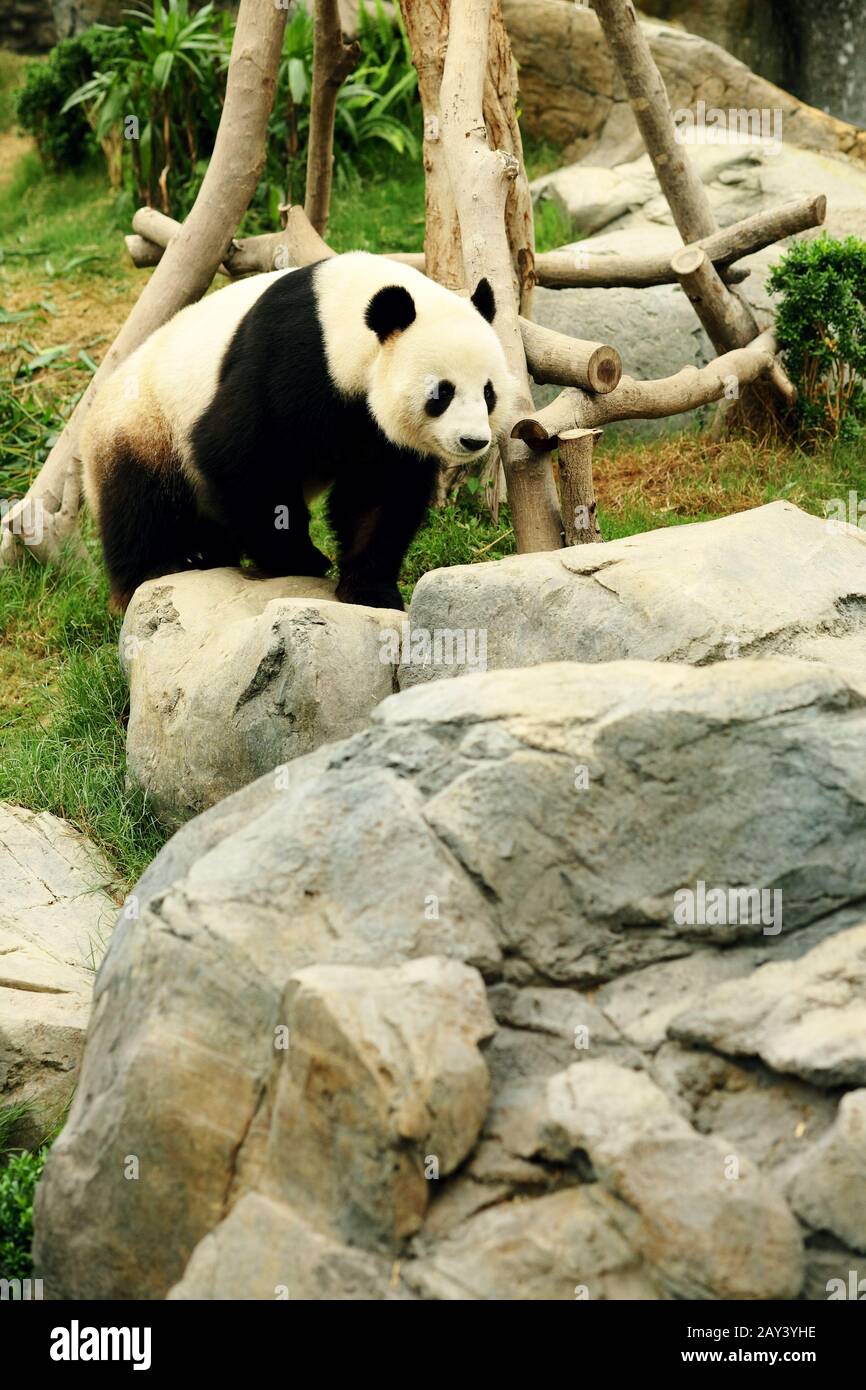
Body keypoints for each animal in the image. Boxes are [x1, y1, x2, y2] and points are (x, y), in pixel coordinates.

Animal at [81, 251, 516, 612]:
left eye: (488, 391)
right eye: (442, 392)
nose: (473, 441)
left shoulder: (375, 429)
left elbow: (379, 493)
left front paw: (370, 590)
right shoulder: (292, 356)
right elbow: (238, 456)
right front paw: (300, 559)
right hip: (144, 422)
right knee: (140, 502)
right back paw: (163, 566)